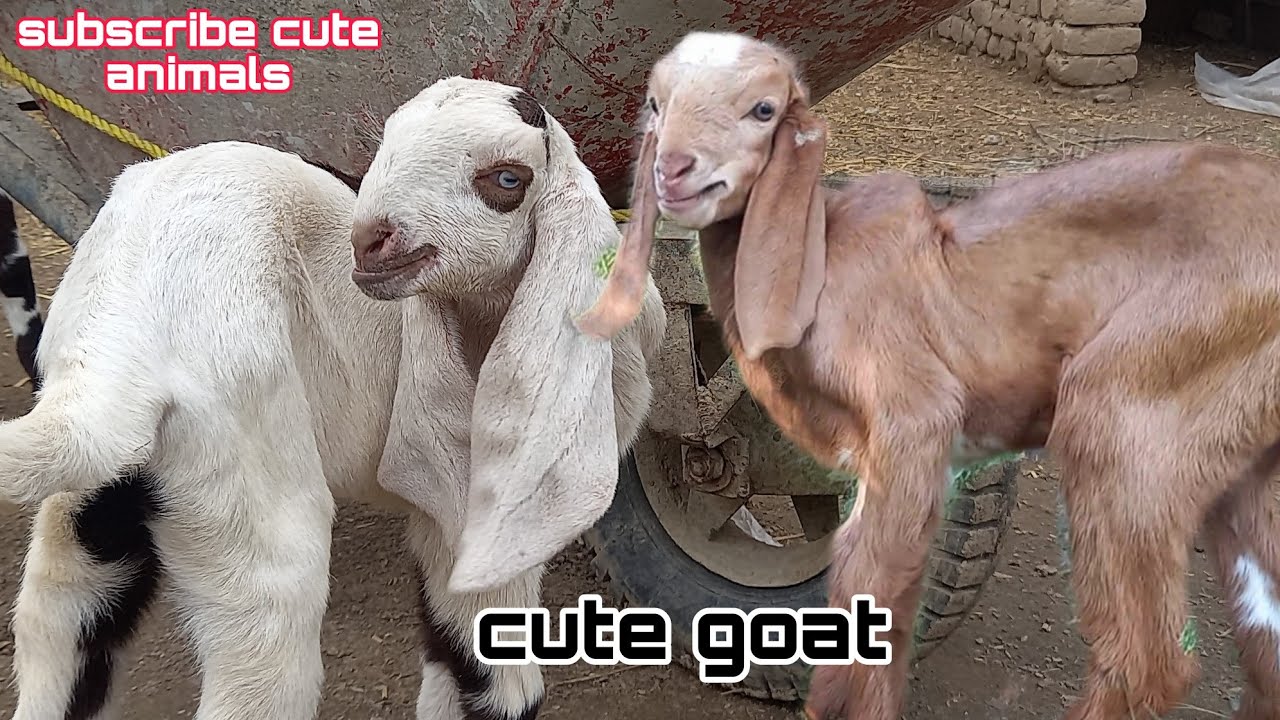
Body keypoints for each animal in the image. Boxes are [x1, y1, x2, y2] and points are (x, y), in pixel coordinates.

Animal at [0, 76, 666, 720]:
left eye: (508, 179)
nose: (370, 242)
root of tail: (118, 338)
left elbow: (446, 671)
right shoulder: (482, 515)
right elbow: (502, 691)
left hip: (97, 500)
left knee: (58, 624)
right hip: (244, 484)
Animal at [577, 30, 1280, 720]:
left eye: (763, 109)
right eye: (656, 103)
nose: (673, 171)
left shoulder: (912, 416)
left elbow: (869, 589)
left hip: (1127, 420)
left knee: (1149, 659)